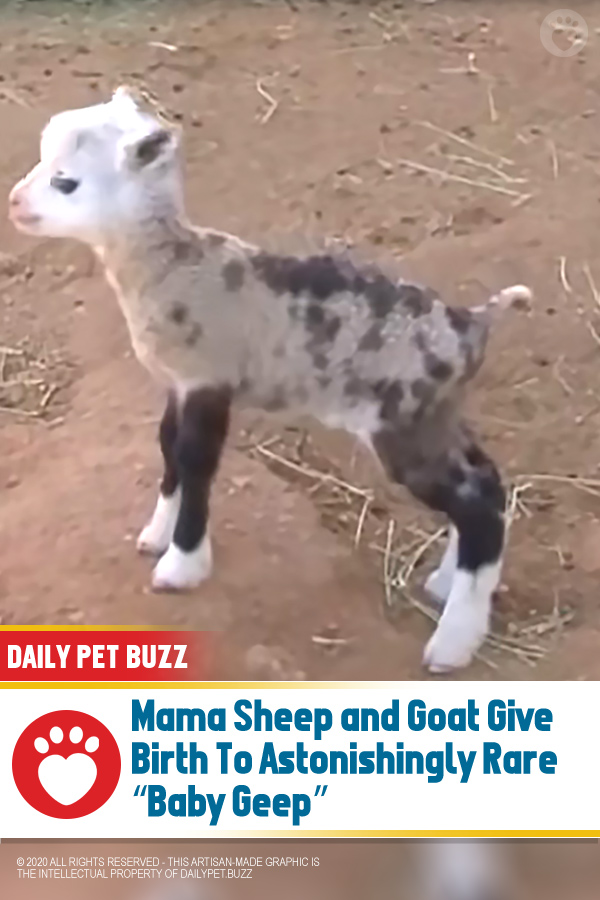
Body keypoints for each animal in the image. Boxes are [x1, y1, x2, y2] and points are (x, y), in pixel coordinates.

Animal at [8, 86, 532, 673]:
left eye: (66, 181)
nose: (15, 202)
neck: (173, 266)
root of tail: (472, 323)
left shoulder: (210, 378)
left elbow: (196, 461)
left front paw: (181, 565)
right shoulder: (179, 382)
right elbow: (168, 448)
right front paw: (156, 534)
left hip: (403, 424)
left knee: (477, 504)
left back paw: (453, 643)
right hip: (437, 414)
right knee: (484, 480)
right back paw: (449, 583)